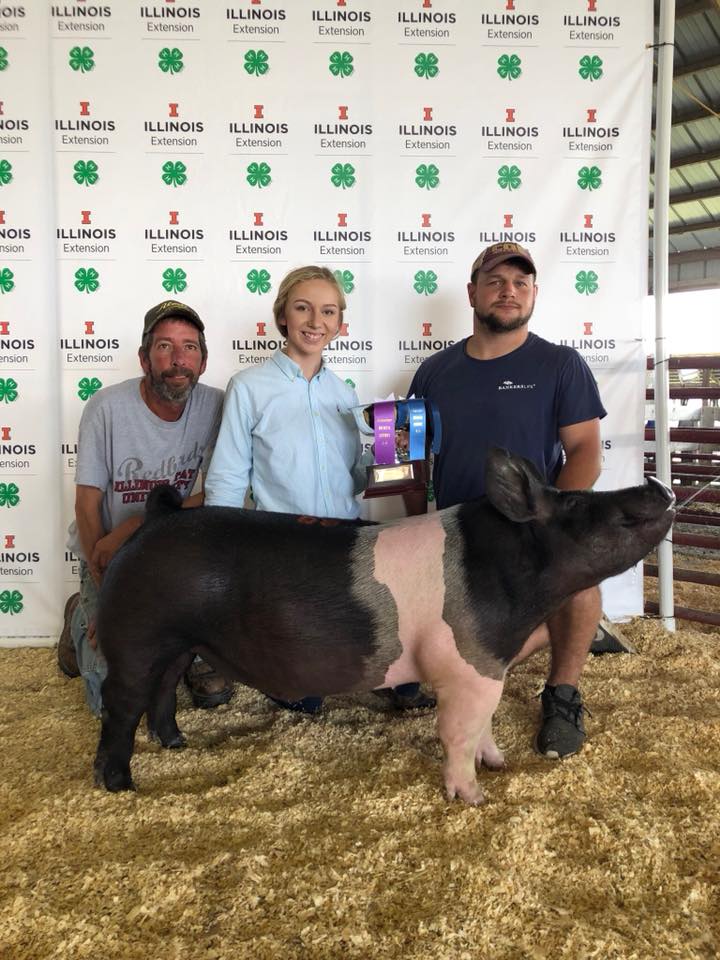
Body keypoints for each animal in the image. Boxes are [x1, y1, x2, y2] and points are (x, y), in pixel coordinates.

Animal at [93, 448, 674, 803]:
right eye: (575, 501)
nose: (657, 485)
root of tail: (156, 519)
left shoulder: (488, 667)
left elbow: (483, 728)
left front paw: (500, 764)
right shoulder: (465, 665)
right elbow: (457, 733)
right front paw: (473, 797)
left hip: (179, 643)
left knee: (162, 692)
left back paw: (176, 744)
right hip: (135, 634)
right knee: (121, 706)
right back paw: (120, 785)